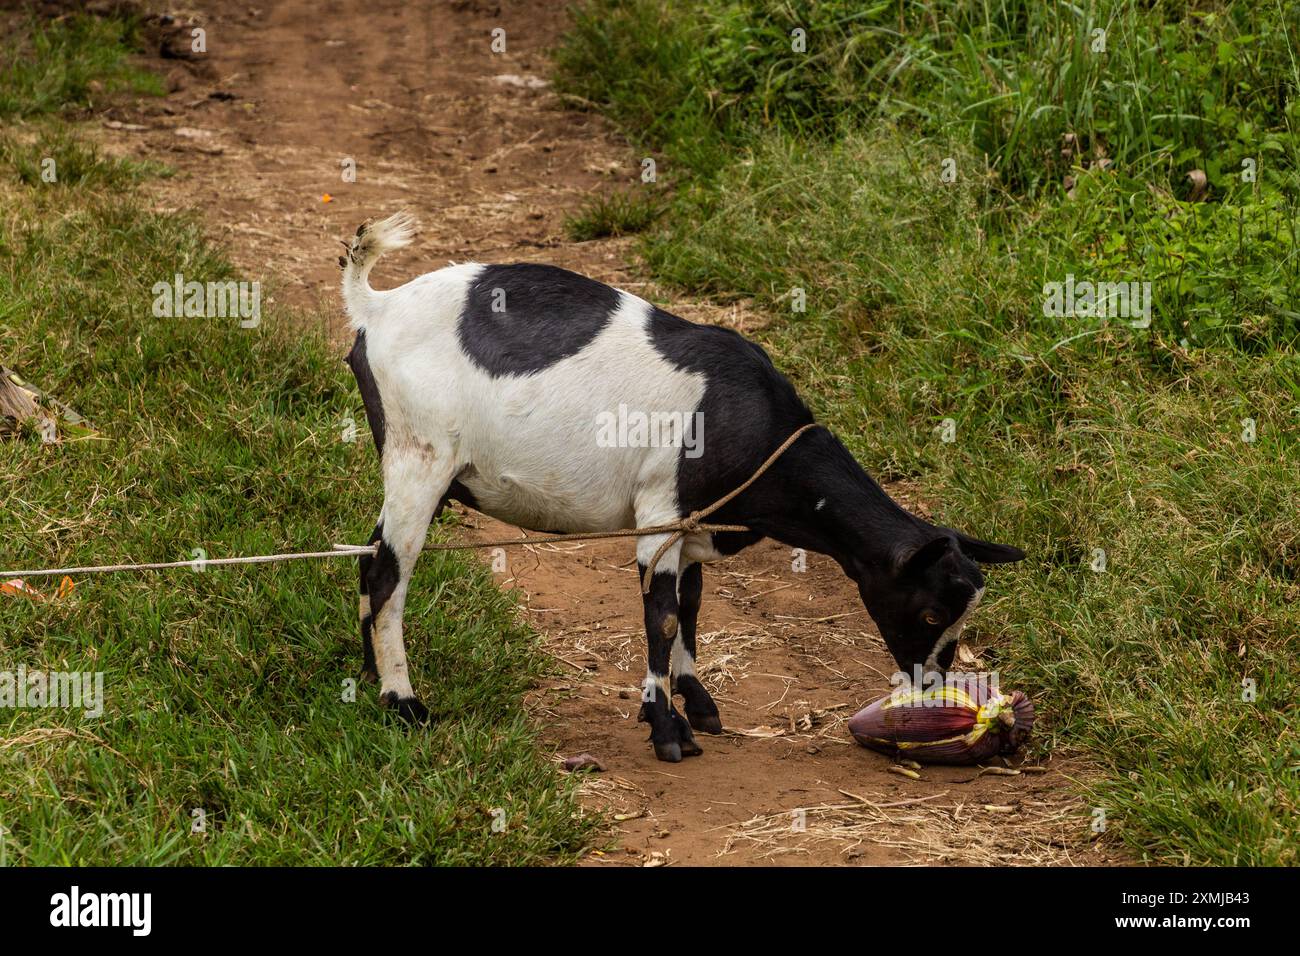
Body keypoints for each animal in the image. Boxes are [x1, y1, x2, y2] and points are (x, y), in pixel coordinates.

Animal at [340, 212, 1025, 762]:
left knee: (369, 558)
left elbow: (693, 604)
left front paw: (696, 701)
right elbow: (664, 616)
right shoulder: (661, 510)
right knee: (389, 571)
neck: (743, 420)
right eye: (930, 610)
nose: (929, 686)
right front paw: (665, 726)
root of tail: (377, 306)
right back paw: (403, 700)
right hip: (419, 455)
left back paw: (367, 672)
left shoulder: (696, 521)